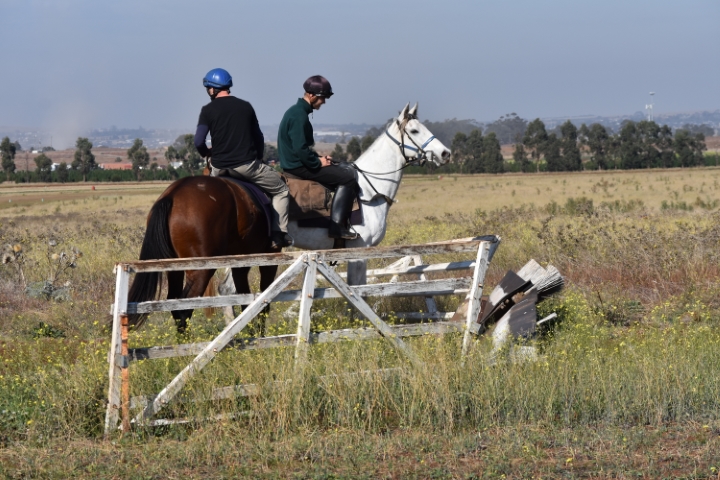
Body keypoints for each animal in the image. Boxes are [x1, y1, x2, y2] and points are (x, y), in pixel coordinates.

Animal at [126, 175, 278, 334]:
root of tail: (172, 194)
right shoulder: (270, 253)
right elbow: (264, 297)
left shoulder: (242, 260)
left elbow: (244, 298)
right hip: (201, 270)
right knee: (184, 307)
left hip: (174, 267)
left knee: (175, 304)